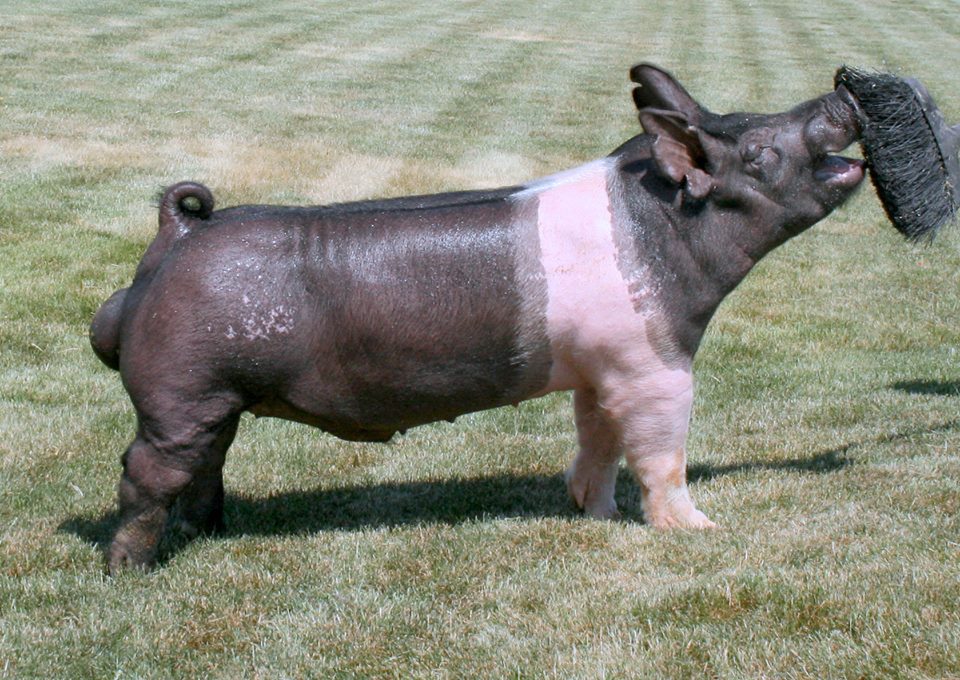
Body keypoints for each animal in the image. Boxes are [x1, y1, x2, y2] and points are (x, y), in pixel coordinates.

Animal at [90, 64, 866, 572]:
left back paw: (212, 535)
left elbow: (598, 440)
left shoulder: (602, 366)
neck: (662, 230)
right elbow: (660, 452)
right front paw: (700, 529)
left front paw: (598, 514)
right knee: (144, 473)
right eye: (760, 152)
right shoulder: (656, 362)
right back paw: (130, 571)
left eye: (753, 116)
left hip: (214, 400)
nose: (844, 89)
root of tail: (176, 235)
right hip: (181, 392)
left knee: (207, 463)